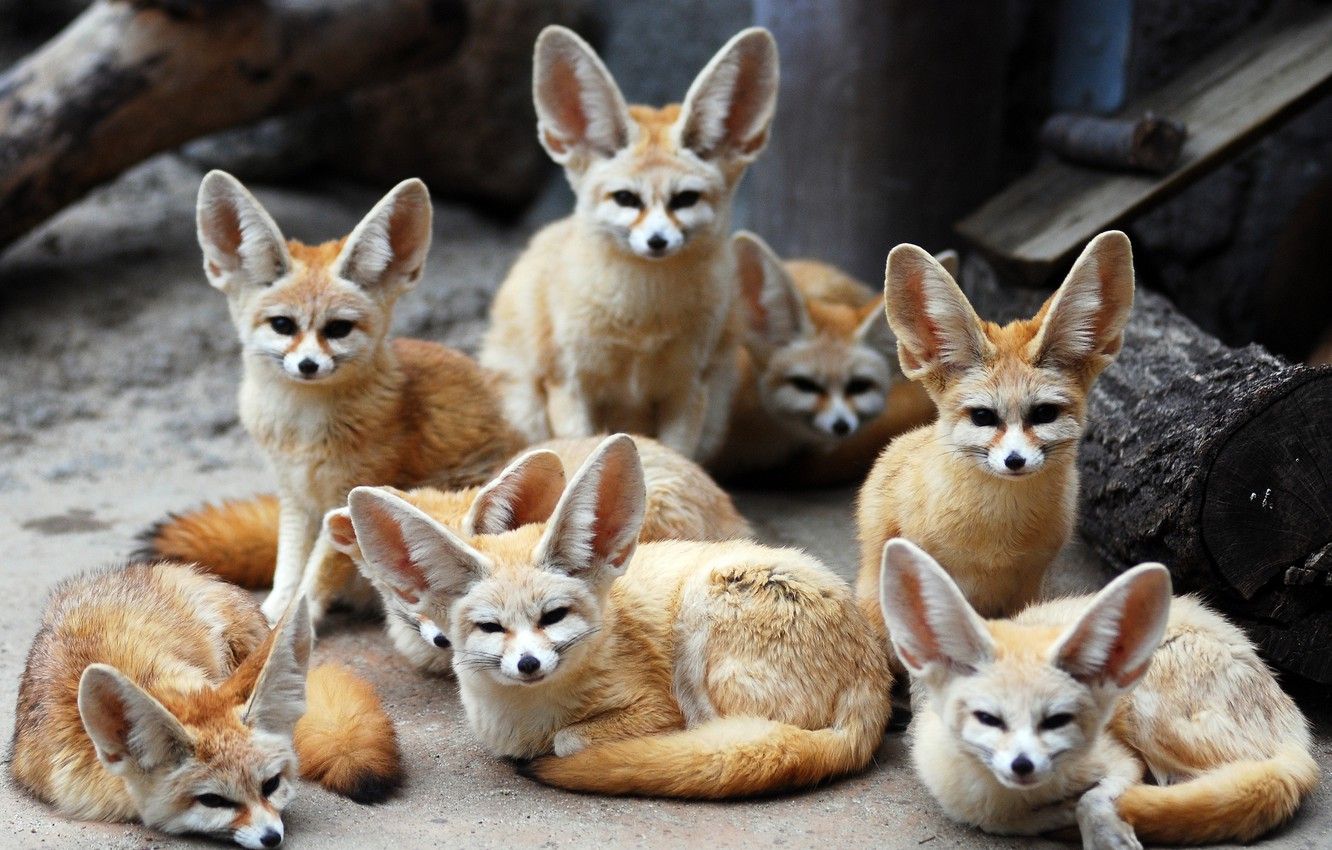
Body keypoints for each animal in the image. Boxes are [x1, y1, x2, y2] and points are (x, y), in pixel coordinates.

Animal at [195, 170, 523, 624]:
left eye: (338, 329)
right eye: (282, 325)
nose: (308, 366)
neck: (302, 430)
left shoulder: (348, 497)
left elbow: (316, 574)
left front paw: (296, 619)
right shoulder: (294, 496)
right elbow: (287, 567)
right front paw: (273, 612)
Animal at [479, 26, 779, 463]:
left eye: (685, 199)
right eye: (625, 199)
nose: (657, 241)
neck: (642, 321)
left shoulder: (687, 389)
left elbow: (678, 456)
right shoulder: (568, 386)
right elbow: (582, 446)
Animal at [877, 538, 1319, 847]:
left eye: (1057, 720)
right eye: (988, 718)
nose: (1023, 765)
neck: (1017, 797)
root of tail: (1298, 737)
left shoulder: (1121, 760)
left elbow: (1095, 799)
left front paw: (1106, 830)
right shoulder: (989, 812)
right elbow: (1047, 814)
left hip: (1145, 714)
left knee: (1193, 785)